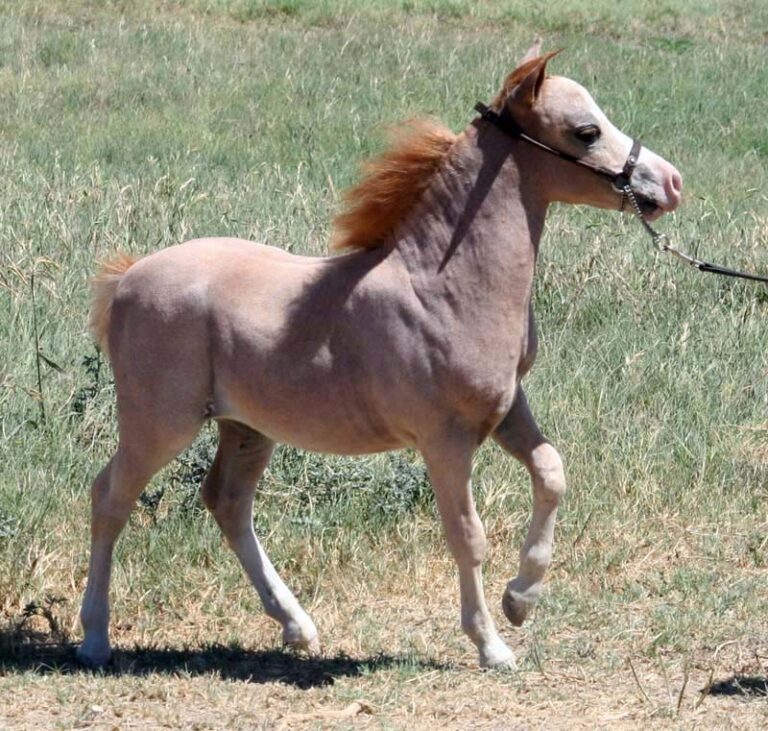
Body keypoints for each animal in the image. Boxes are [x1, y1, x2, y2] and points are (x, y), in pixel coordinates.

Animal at [77, 43, 682, 670]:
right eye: (587, 131)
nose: (671, 182)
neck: (443, 285)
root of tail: (126, 279)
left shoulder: (506, 409)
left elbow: (552, 473)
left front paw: (521, 599)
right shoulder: (445, 439)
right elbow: (467, 536)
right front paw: (492, 645)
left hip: (246, 427)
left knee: (226, 503)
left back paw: (297, 626)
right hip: (160, 423)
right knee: (110, 498)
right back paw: (95, 639)